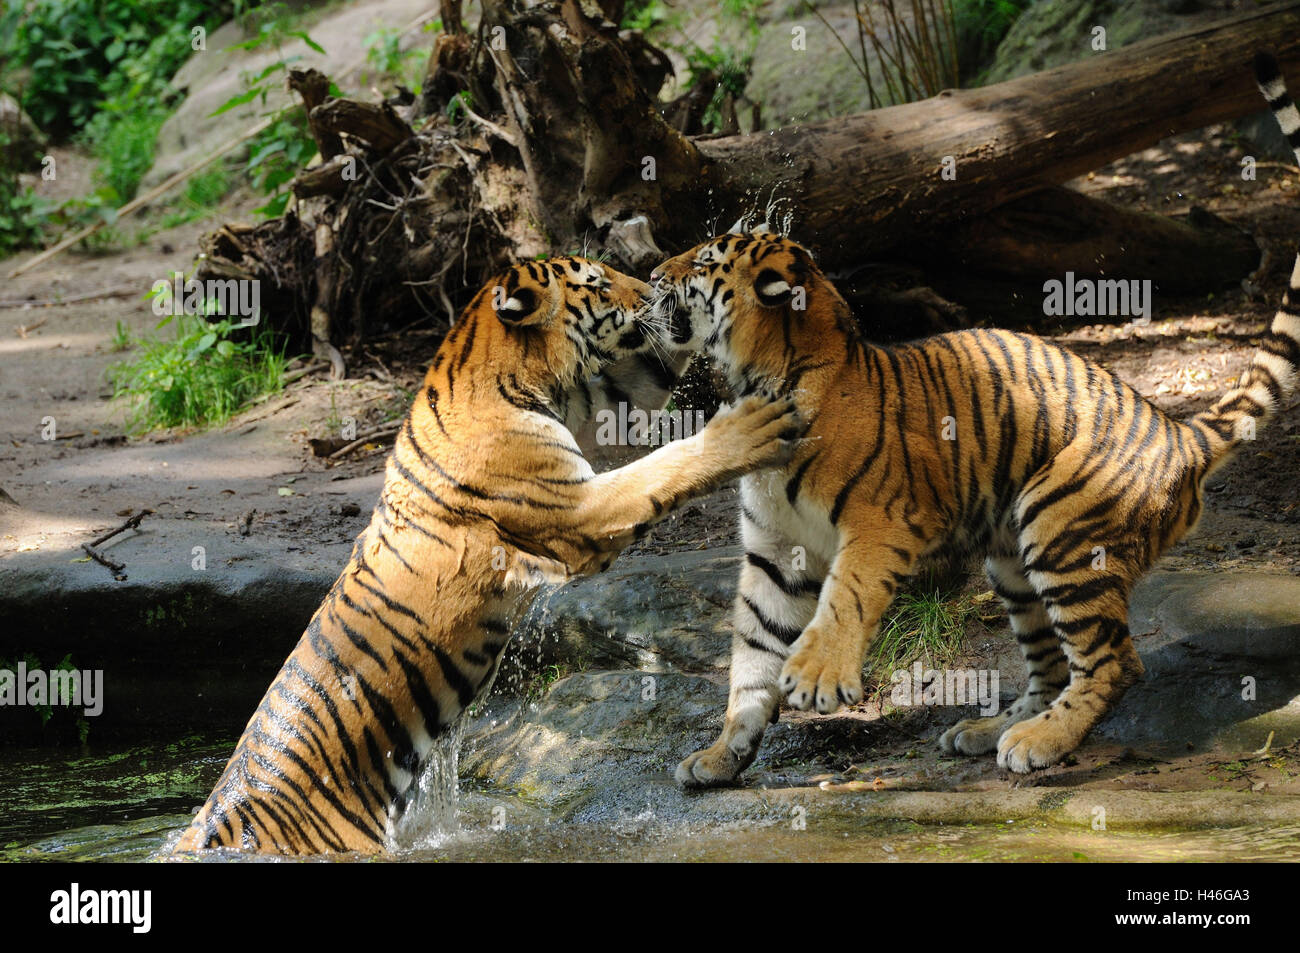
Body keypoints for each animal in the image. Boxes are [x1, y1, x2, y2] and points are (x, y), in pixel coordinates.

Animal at [171, 256, 804, 854]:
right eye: (598, 282)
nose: (650, 287)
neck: (519, 375)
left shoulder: (608, 398)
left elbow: (654, 370)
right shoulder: (582, 510)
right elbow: (667, 464)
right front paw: (755, 423)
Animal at [649, 53, 1300, 785]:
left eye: (705, 260)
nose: (654, 270)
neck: (756, 381)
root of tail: (1179, 430)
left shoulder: (884, 519)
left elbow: (844, 595)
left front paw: (816, 677)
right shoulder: (772, 552)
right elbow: (752, 653)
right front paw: (721, 752)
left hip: (1063, 528)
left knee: (1114, 661)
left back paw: (1040, 743)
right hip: (1014, 563)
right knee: (1053, 665)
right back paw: (993, 730)